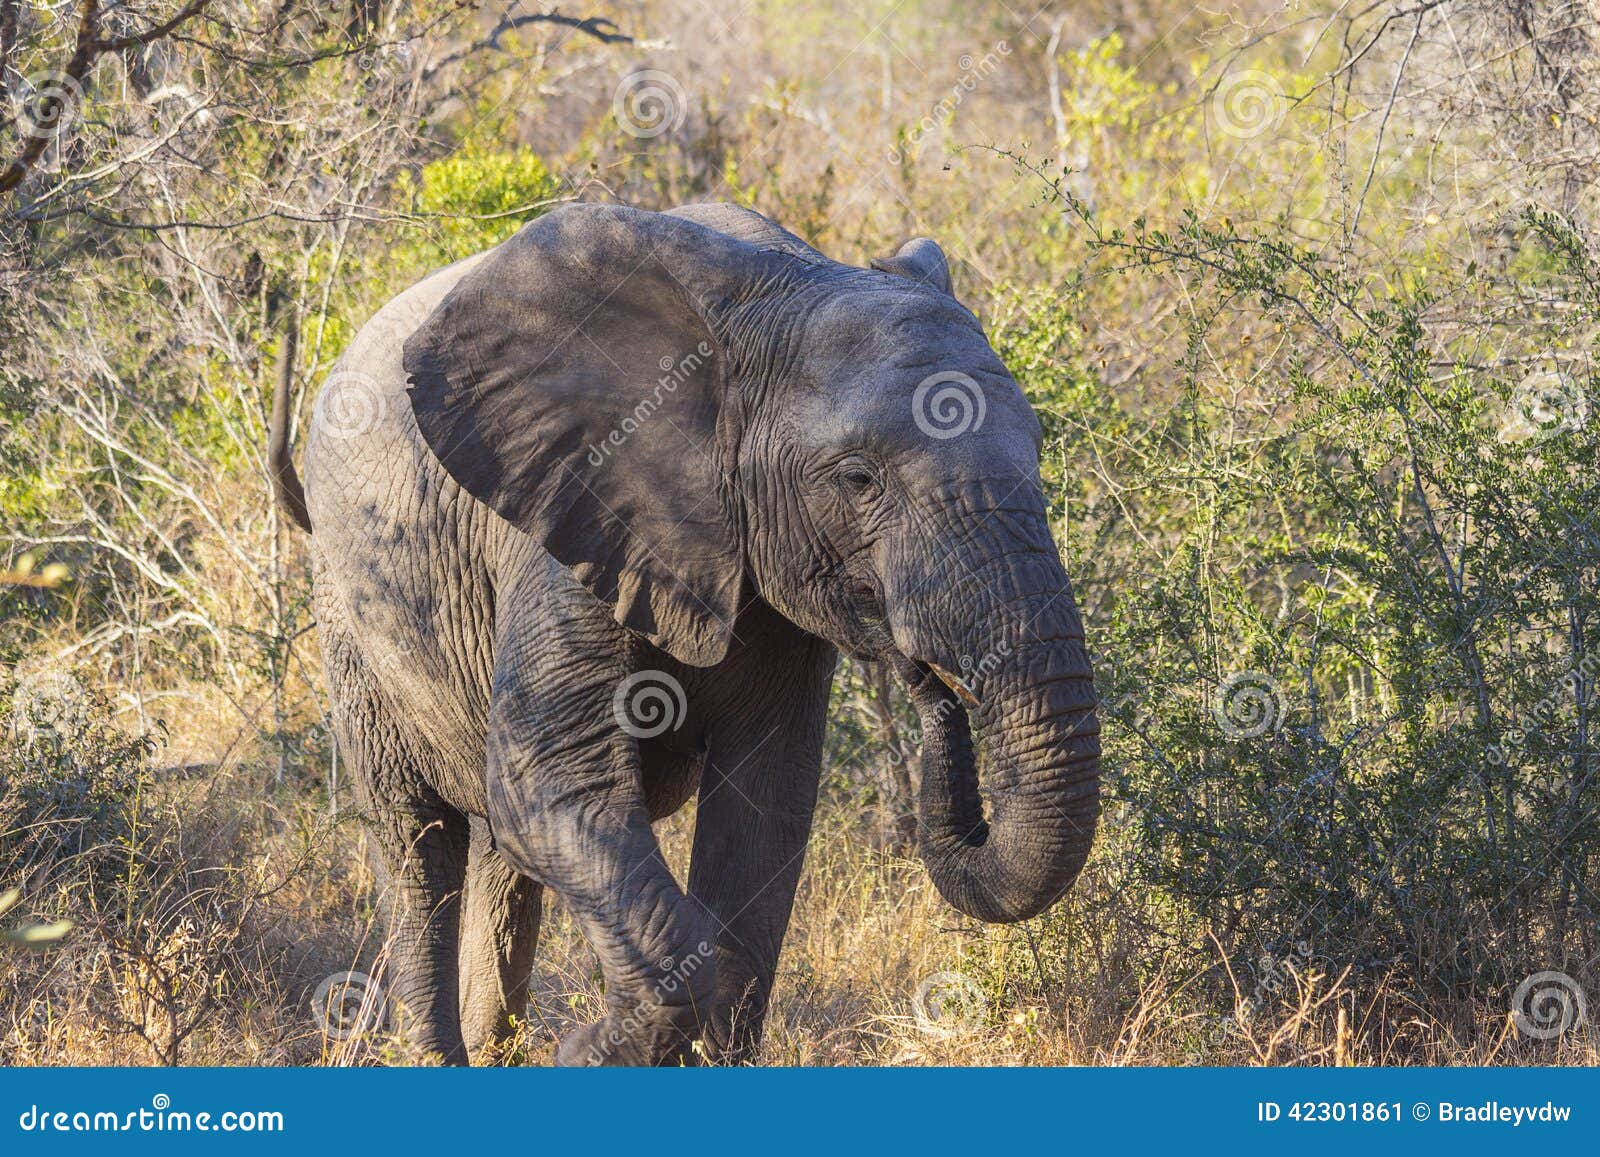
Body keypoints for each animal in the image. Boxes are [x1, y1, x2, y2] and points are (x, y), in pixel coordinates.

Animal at [269, 200, 1101, 1066]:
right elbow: (555, 778)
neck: (777, 291)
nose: (927, 671)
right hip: (348, 605)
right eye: (858, 479)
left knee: (502, 856)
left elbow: (764, 813)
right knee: (417, 839)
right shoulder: (571, 511)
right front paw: (587, 1051)